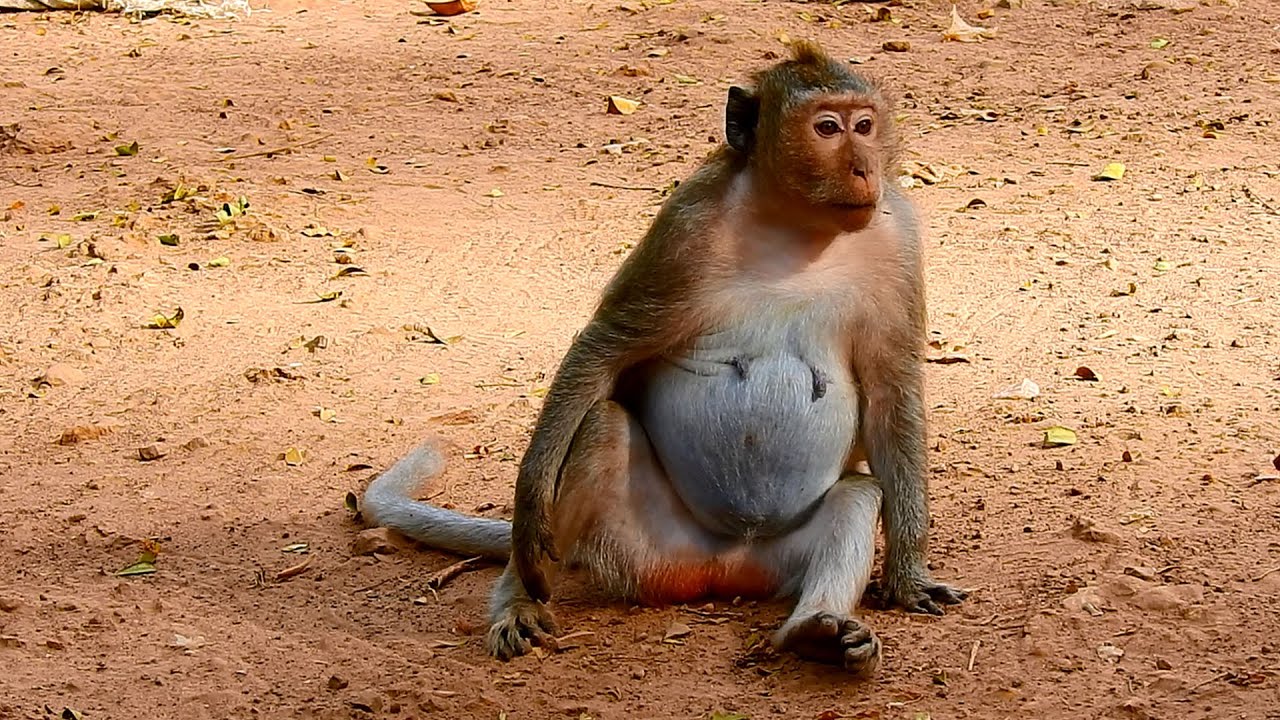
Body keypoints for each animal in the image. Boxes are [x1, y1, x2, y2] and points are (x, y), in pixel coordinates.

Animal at [362, 40, 966, 674]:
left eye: (865, 126)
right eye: (828, 128)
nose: (864, 168)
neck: (797, 227)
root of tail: (724, 569)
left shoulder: (897, 238)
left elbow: (891, 391)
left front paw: (908, 576)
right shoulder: (685, 225)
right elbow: (604, 346)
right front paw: (529, 511)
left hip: (779, 562)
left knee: (857, 495)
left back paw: (815, 630)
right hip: (636, 550)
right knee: (600, 426)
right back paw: (519, 599)